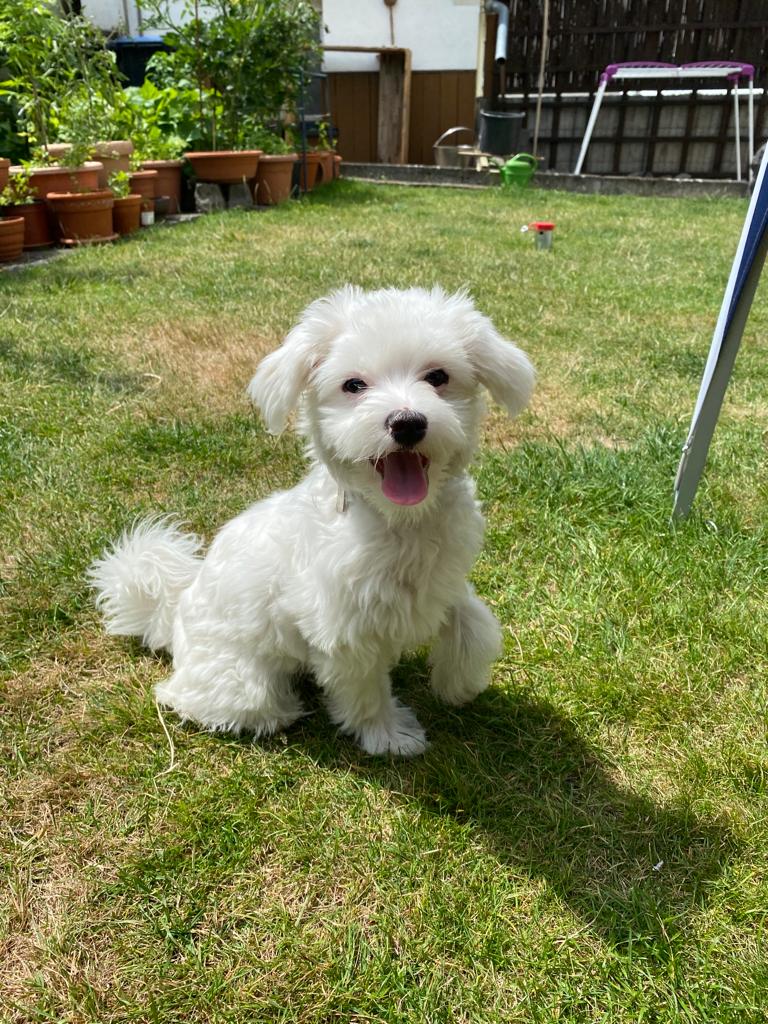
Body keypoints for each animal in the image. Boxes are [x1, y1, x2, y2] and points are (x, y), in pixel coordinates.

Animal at [90, 286, 534, 756]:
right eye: (353, 385)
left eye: (438, 377)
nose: (407, 422)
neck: (400, 520)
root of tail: (171, 614)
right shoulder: (344, 627)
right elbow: (365, 689)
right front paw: (388, 735)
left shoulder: (442, 581)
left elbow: (472, 620)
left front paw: (459, 682)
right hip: (239, 682)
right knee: (196, 699)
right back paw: (275, 711)